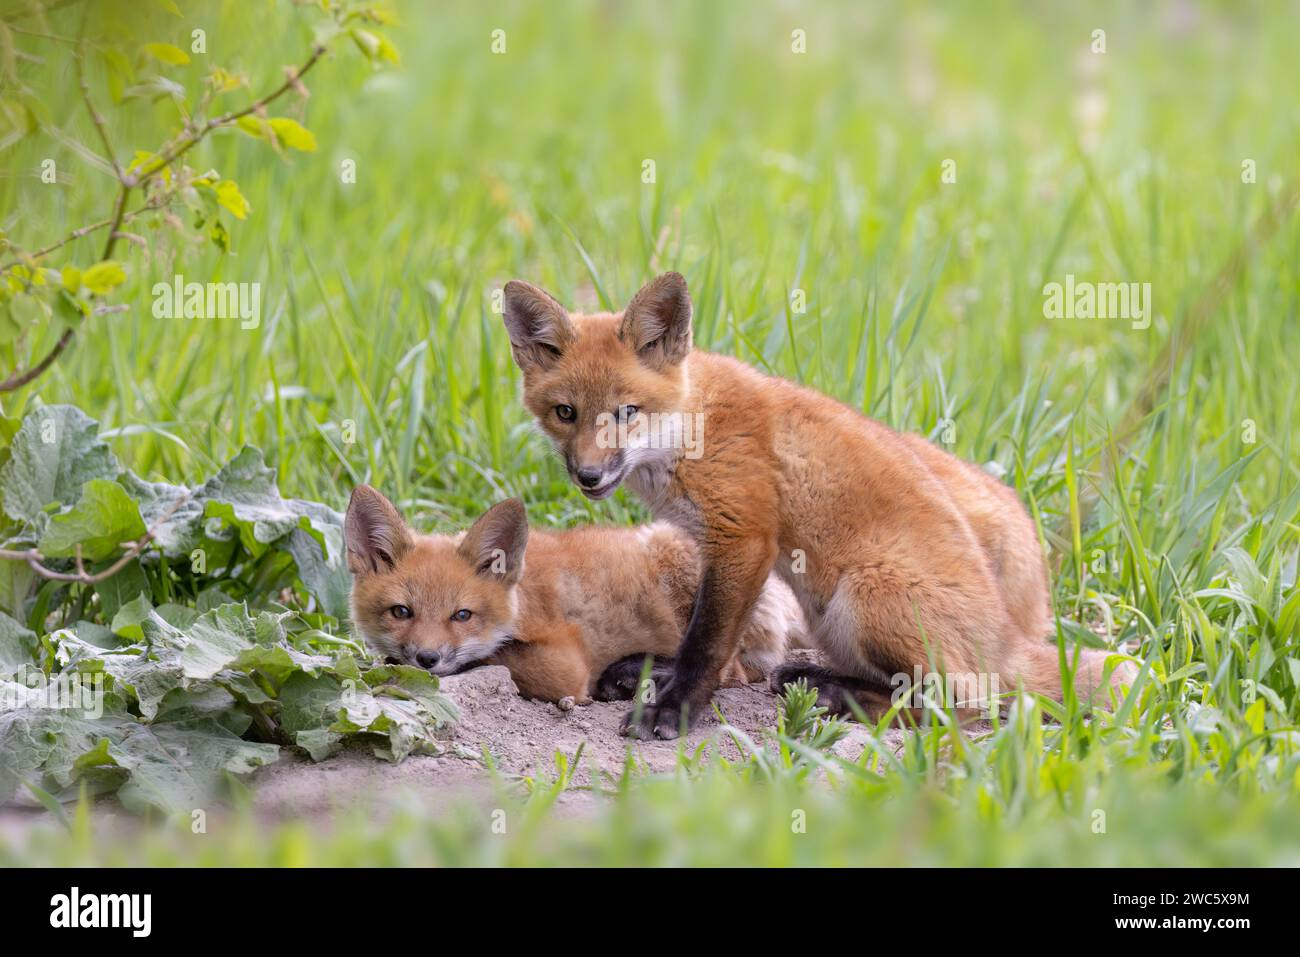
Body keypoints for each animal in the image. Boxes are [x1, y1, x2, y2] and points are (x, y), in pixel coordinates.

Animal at [344, 485, 805, 706]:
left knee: (732, 672)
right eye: (401, 611)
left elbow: (496, 659)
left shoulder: (563, 663)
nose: (427, 658)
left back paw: (635, 677)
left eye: (462, 615)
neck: (520, 598)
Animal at [501, 272, 1138, 738]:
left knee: (965, 705)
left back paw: (841, 698)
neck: (692, 427)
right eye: (566, 413)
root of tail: (1009, 635)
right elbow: (703, 643)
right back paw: (814, 678)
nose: (587, 475)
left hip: (866, 593)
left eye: (627, 412)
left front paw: (674, 710)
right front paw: (656, 678)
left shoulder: (744, 535)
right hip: (826, 615)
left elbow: (706, 644)